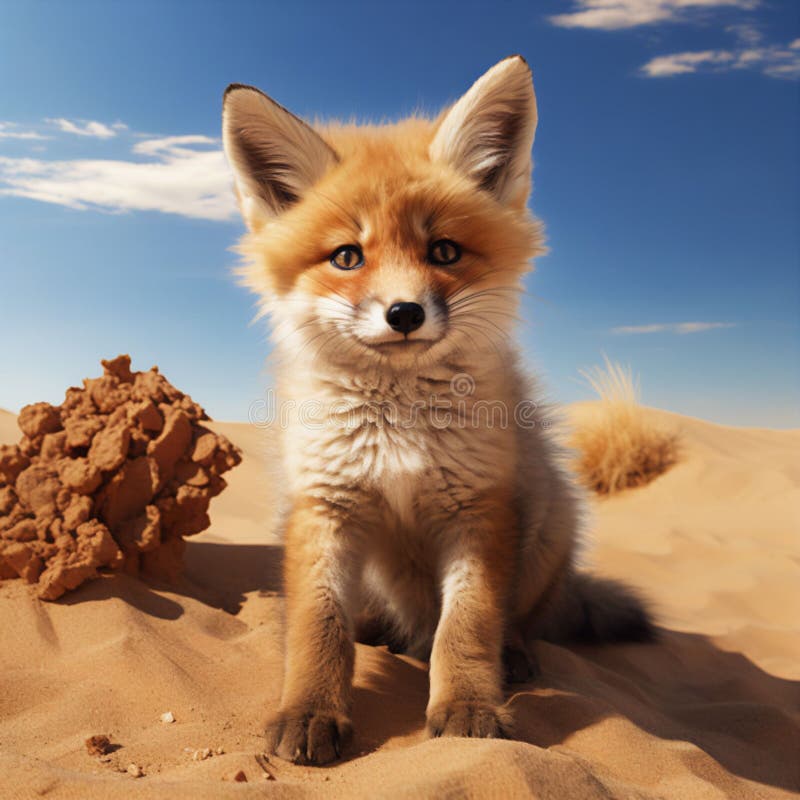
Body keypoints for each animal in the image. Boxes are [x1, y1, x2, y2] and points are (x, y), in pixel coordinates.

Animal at [221, 55, 653, 765]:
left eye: (444, 251)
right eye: (347, 256)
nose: (404, 313)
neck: (398, 430)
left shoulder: (478, 509)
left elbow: (467, 627)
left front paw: (469, 706)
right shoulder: (325, 505)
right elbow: (318, 627)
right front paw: (309, 709)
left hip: (550, 515)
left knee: (511, 621)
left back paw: (512, 653)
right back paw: (381, 632)